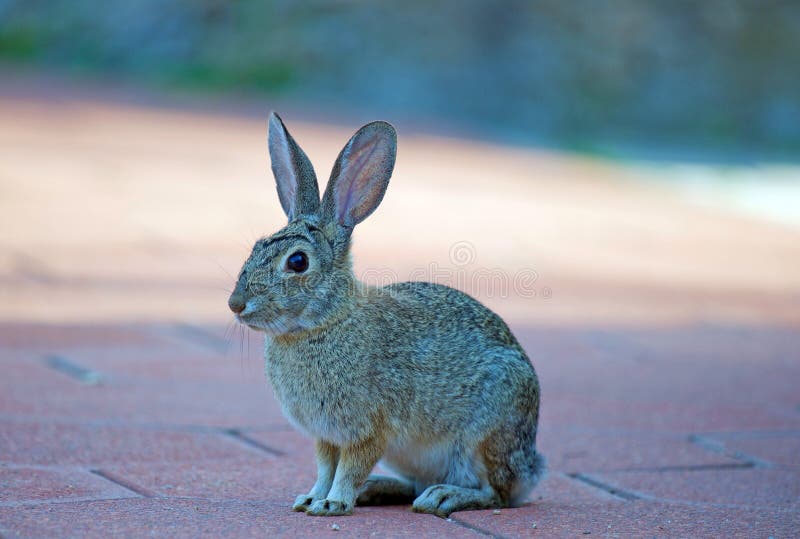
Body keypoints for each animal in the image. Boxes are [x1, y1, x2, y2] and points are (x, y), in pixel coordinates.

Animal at [228, 113, 544, 518]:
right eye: (255, 247)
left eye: (297, 262)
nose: (236, 303)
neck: (324, 322)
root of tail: (532, 469)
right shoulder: (326, 436)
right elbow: (325, 467)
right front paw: (311, 498)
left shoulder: (370, 429)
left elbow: (349, 468)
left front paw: (333, 504)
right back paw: (378, 489)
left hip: (486, 434)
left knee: (496, 493)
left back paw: (443, 497)